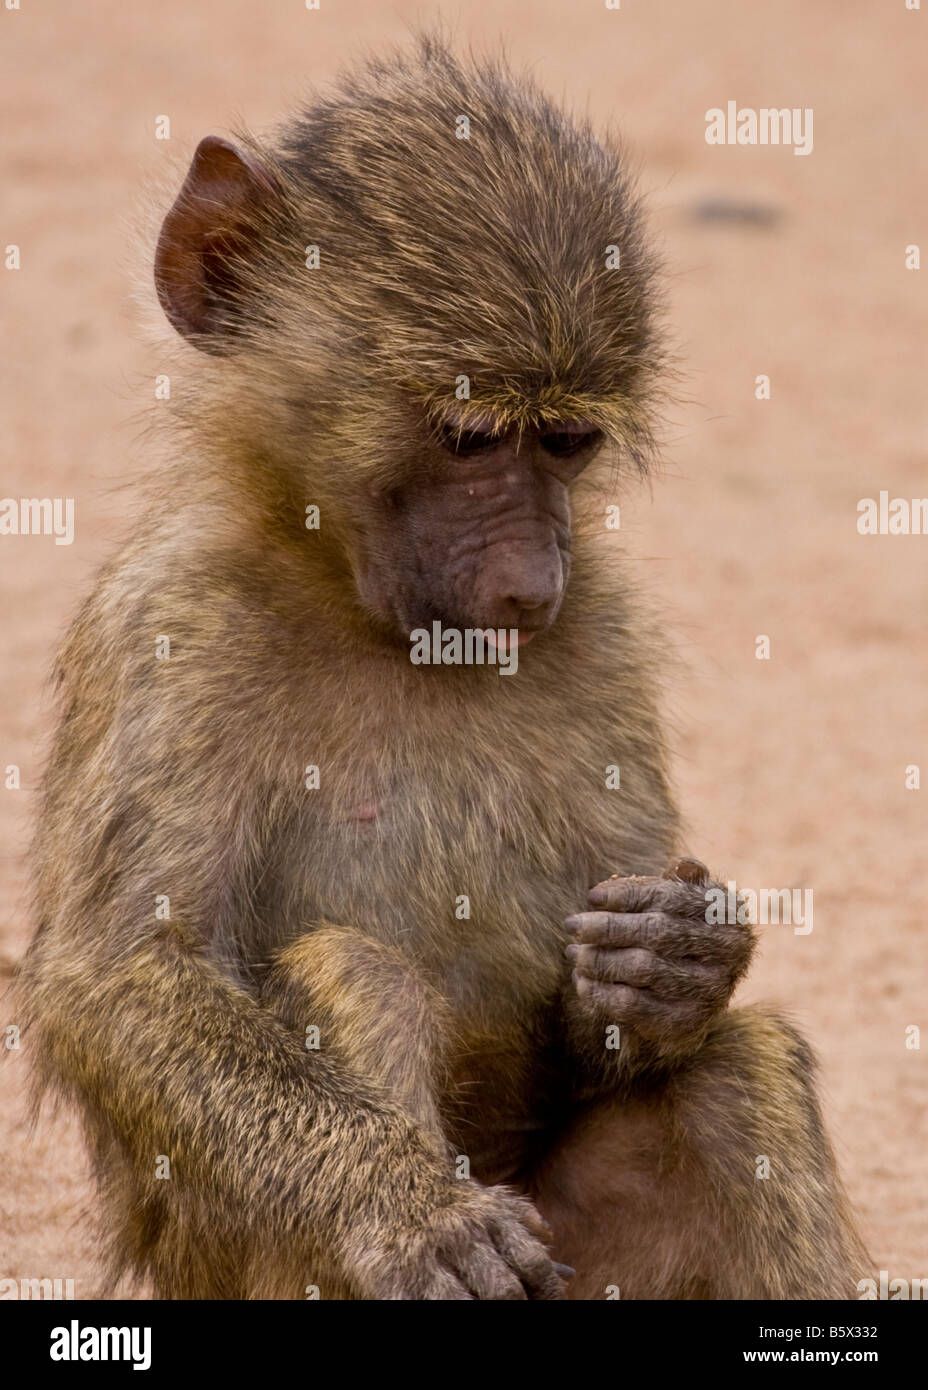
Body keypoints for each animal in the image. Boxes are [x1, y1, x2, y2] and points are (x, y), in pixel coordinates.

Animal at [18, 36, 868, 1300]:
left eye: (565, 439)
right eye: (467, 437)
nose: (529, 585)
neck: (356, 604)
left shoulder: (605, 629)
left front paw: (669, 964)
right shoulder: (166, 629)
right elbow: (123, 974)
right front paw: (412, 1211)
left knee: (736, 1073)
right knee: (357, 967)